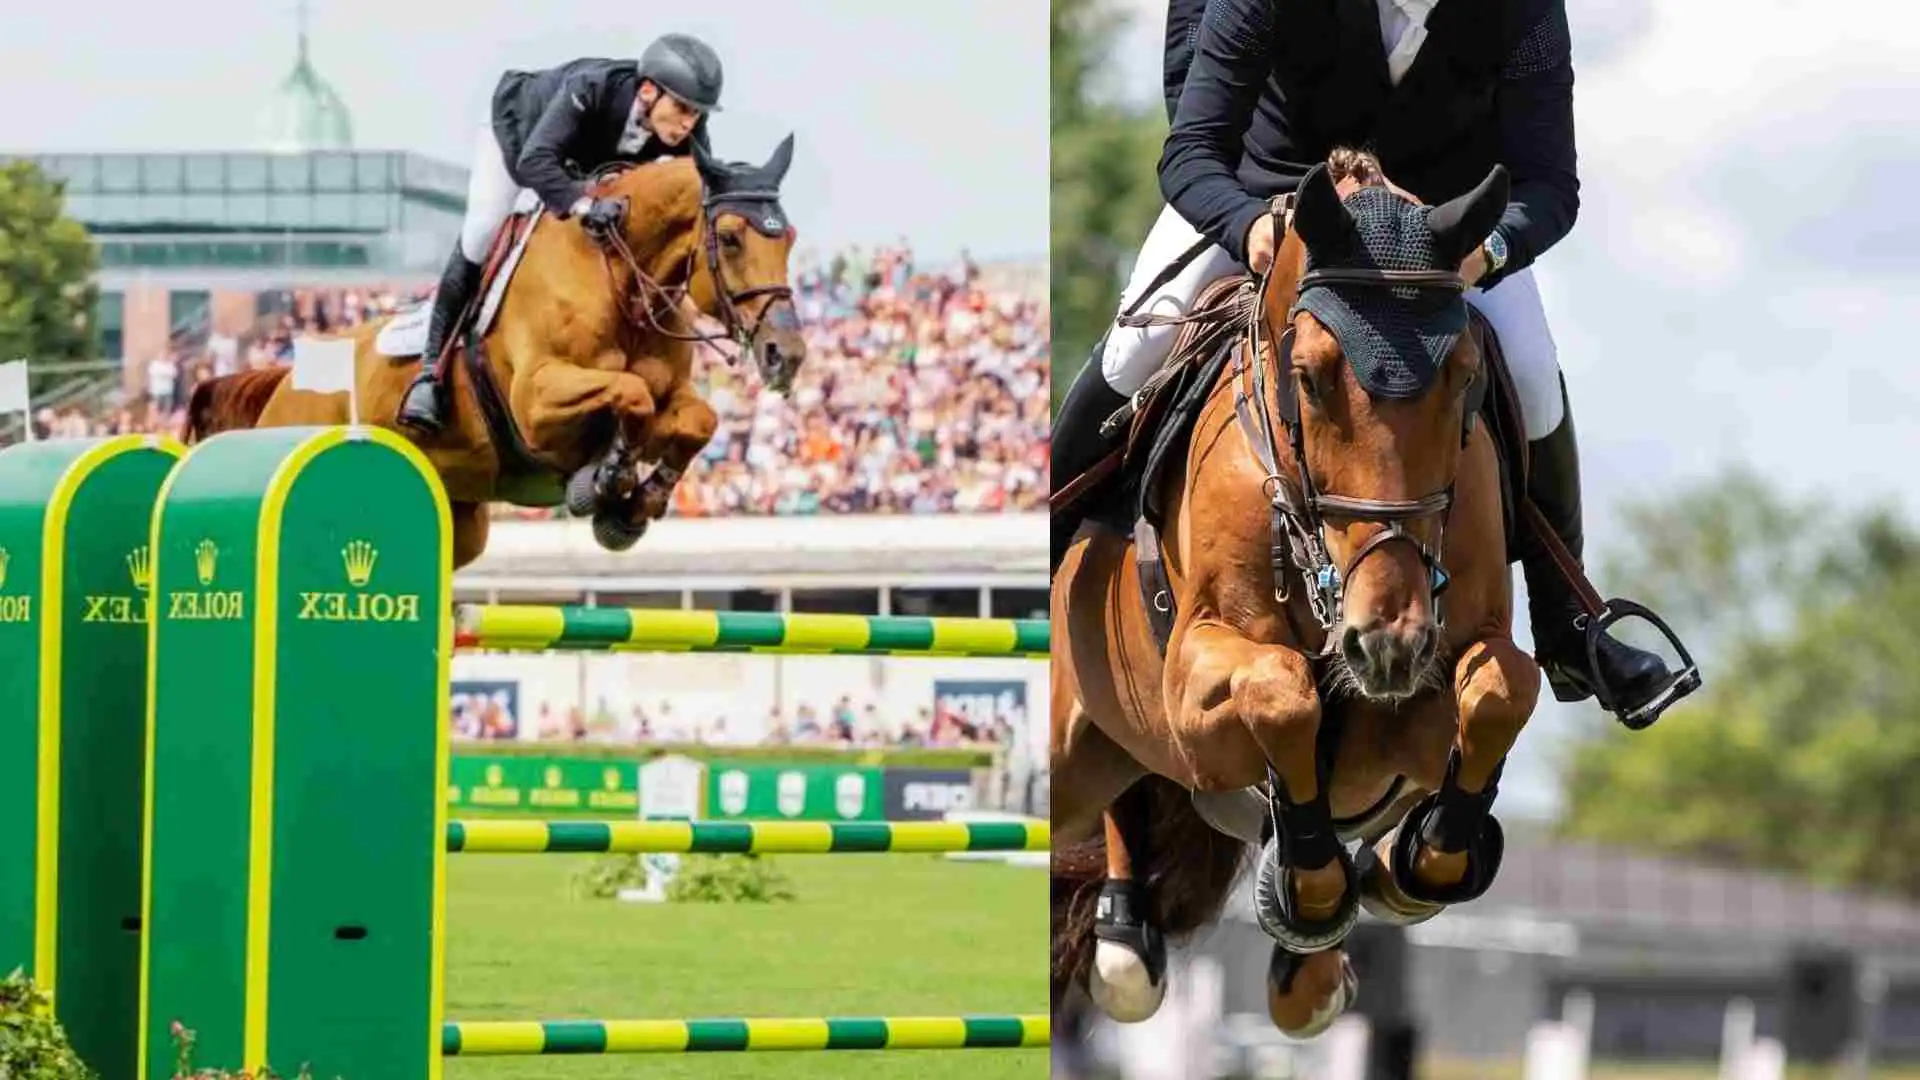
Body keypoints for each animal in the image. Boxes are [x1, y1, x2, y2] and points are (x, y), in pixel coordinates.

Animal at [185, 135, 808, 570]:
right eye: (730, 238)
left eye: (789, 238)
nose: (787, 355)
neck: (618, 279)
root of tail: (286, 380)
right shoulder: (537, 404)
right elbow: (630, 396)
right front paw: (606, 479)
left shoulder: (671, 397)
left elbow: (696, 419)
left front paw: (637, 503)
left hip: (461, 522)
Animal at [1051, 152, 1542, 1038]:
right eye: (1310, 378)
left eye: (1465, 379)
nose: (1387, 640)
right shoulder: (1191, 695)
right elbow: (1282, 692)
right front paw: (1311, 885)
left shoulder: (1423, 699)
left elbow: (1500, 690)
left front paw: (1416, 860)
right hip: (1074, 741)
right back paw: (1127, 936)